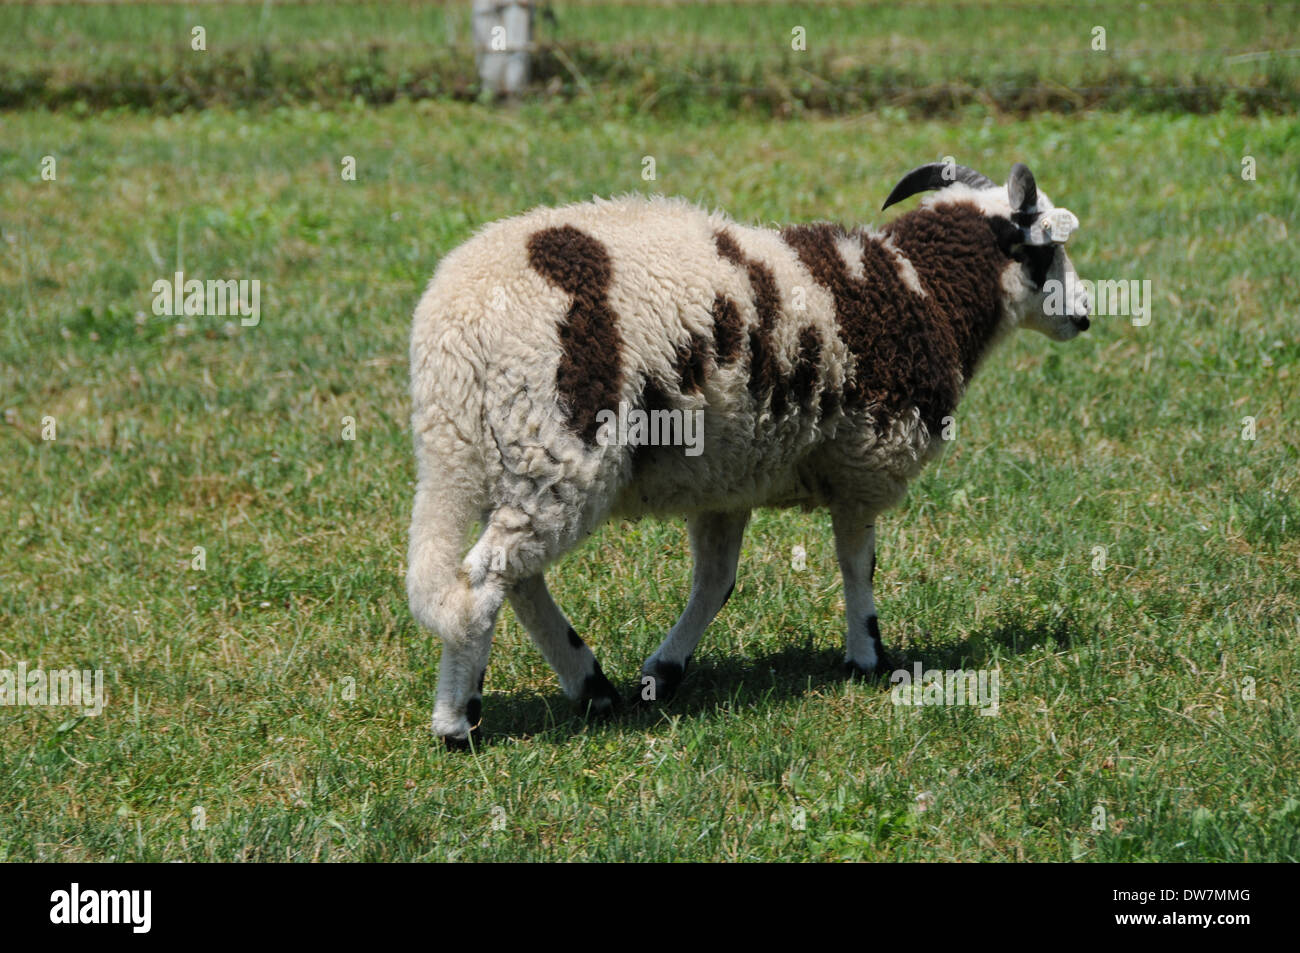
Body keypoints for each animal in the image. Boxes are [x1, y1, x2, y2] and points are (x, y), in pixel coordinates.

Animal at [407, 161, 1091, 747]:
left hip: (509, 456)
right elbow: (857, 564)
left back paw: (591, 686)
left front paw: (664, 672)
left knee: (516, 578)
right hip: (560, 448)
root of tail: (454, 324)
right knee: (485, 579)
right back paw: (457, 722)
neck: (921, 288)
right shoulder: (865, 461)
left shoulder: (727, 480)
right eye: (1046, 248)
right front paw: (869, 657)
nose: (1084, 314)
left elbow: (716, 582)